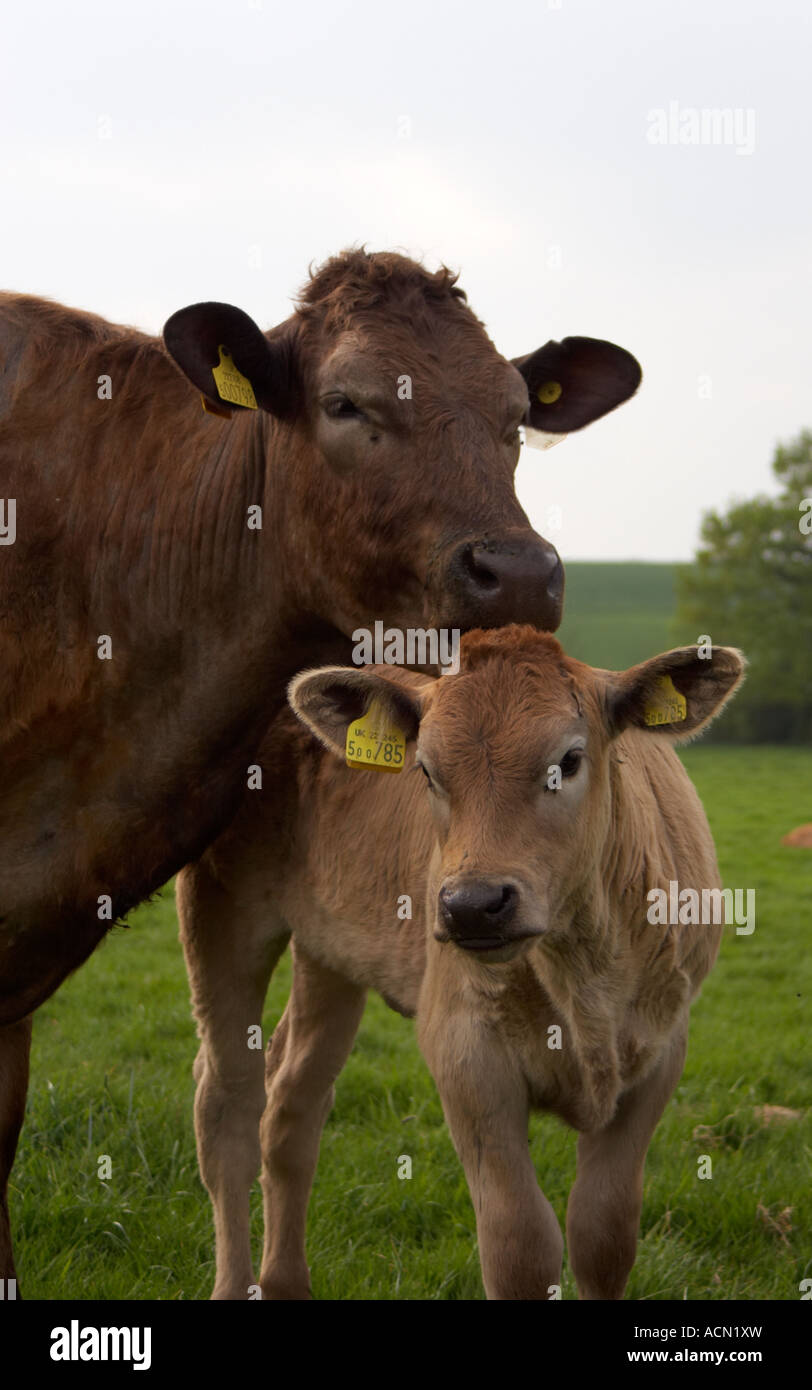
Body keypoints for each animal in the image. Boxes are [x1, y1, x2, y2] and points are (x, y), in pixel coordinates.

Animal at [179, 625, 743, 1299]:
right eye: (426, 770)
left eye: (568, 761)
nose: (474, 905)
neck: (584, 965)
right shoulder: (466, 1053)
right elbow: (520, 1243)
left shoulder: (659, 1050)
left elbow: (604, 1234)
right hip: (222, 910)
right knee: (228, 1108)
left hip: (328, 951)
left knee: (293, 1102)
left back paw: (287, 1282)